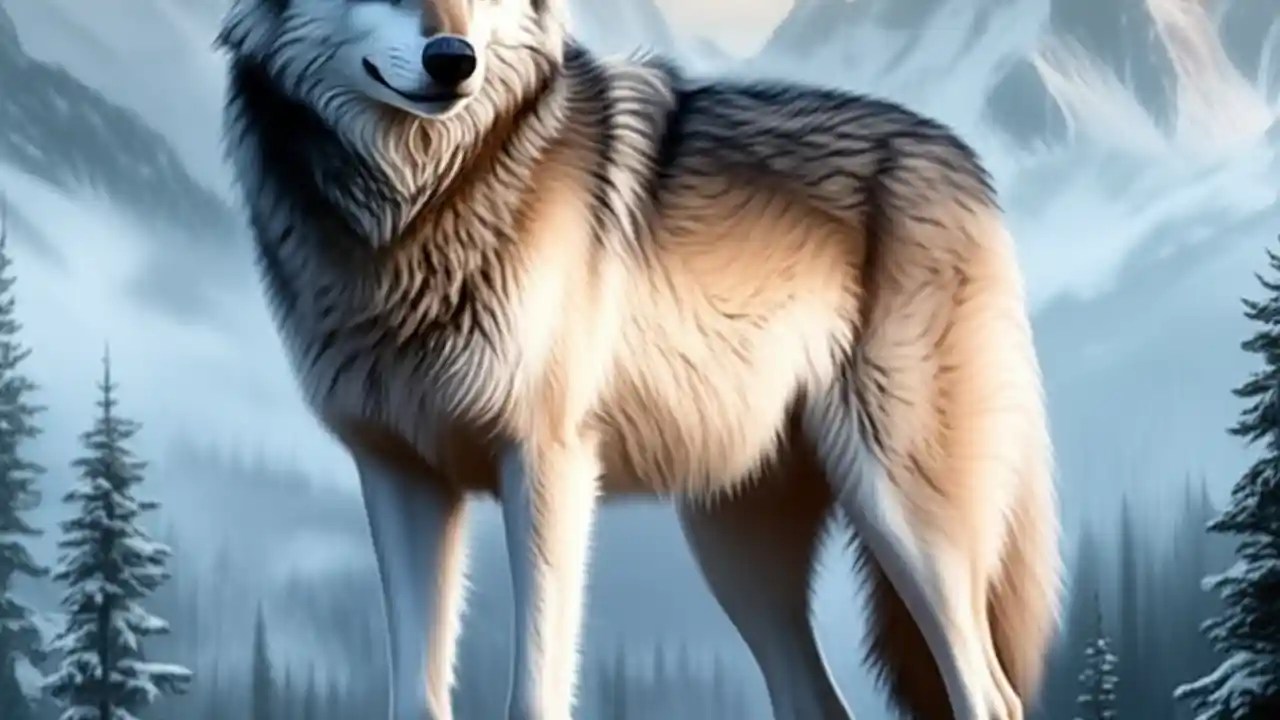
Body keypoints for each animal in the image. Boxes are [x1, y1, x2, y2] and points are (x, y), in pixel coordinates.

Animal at [215, 1, 1061, 718]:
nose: (453, 61)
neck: (421, 201)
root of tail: (964, 160)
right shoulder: (398, 473)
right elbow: (417, 694)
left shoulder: (547, 462)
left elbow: (536, 691)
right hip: (737, 552)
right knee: (817, 702)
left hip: (906, 516)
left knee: (990, 695)